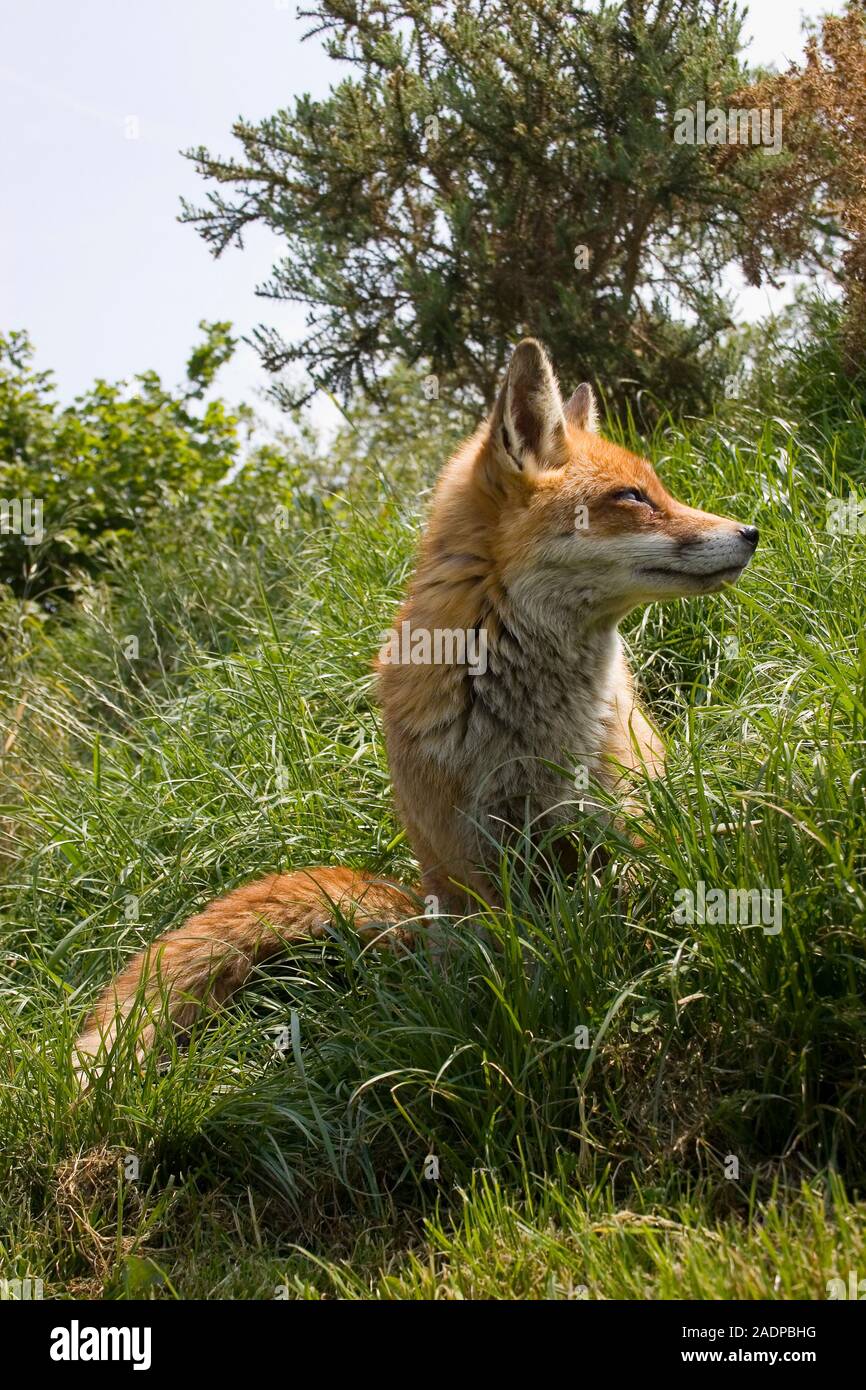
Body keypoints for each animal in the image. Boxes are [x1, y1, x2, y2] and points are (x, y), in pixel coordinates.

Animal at [73, 339, 759, 1075]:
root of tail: (421, 919)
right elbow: (526, 970)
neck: (529, 727)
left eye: (658, 487)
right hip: (451, 904)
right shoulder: (478, 869)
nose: (750, 530)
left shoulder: (619, 823)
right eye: (632, 497)